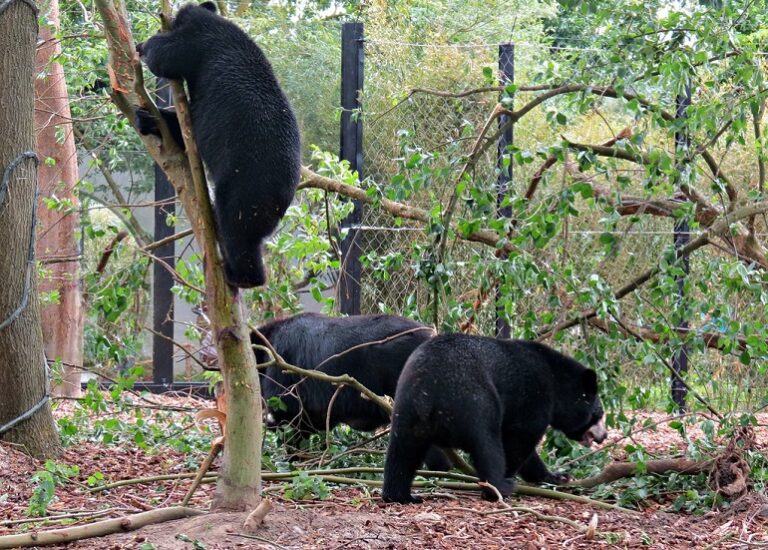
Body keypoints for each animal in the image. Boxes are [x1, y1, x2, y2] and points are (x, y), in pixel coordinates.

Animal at [136, 2, 301, 288]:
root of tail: (284, 196)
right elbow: (183, 129)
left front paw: (144, 45)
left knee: (237, 229)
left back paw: (240, 274)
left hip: (245, 185)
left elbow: (166, 56)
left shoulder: (198, 46)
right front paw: (146, 117)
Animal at [381, 334, 607, 504]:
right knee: (488, 444)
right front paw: (512, 474)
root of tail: (426, 394)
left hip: (406, 410)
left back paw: (401, 495)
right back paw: (499, 487)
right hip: (474, 400)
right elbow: (521, 437)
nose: (603, 436)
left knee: (402, 452)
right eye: (598, 415)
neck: (556, 381)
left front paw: (558, 476)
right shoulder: (533, 396)